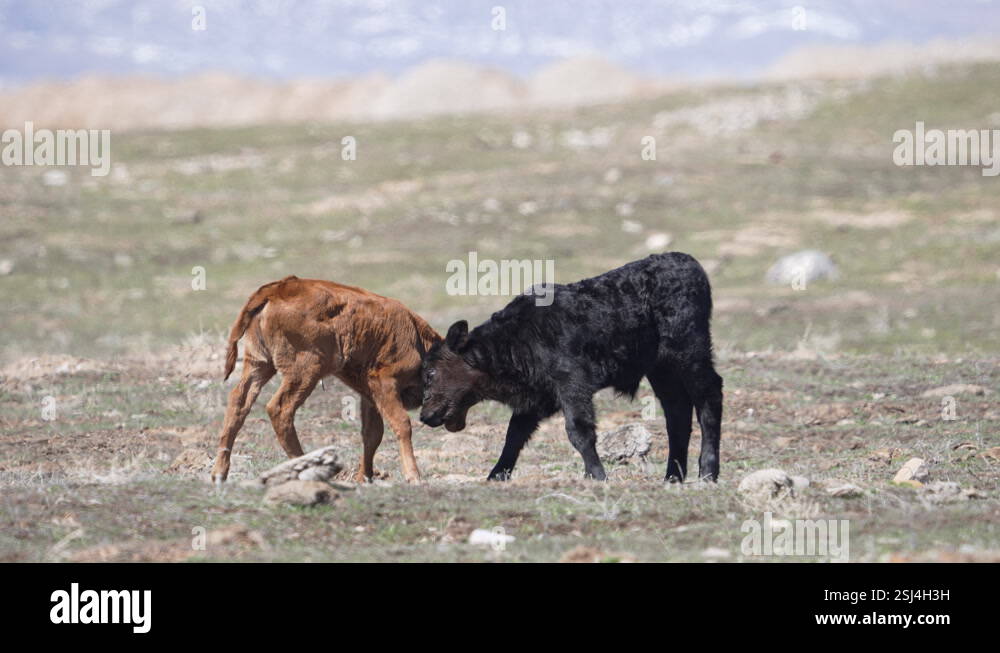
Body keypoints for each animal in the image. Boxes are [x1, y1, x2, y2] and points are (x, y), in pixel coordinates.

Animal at [211, 276, 441, 484]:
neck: (418, 340)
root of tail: (278, 288)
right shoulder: (383, 382)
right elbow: (402, 424)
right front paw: (414, 477)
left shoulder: (370, 396)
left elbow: (372, 434)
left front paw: (364, 477)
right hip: (306, 371)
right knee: (280, 409)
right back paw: (305, 465)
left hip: (259, 364)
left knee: (239, 402)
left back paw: (219, 473)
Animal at [419, 253, 722, 483]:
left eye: (431, 372)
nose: (424, 415)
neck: (515, 340)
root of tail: (687, 262)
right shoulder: (538, 398)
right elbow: (514, 434)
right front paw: (496, 475)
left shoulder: (573, 385)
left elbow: (578, 430)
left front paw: (597, 475)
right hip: (661, 370)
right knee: (677, 413)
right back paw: (673, 476)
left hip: (690, 353)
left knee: (709, 397)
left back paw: (708, 472)